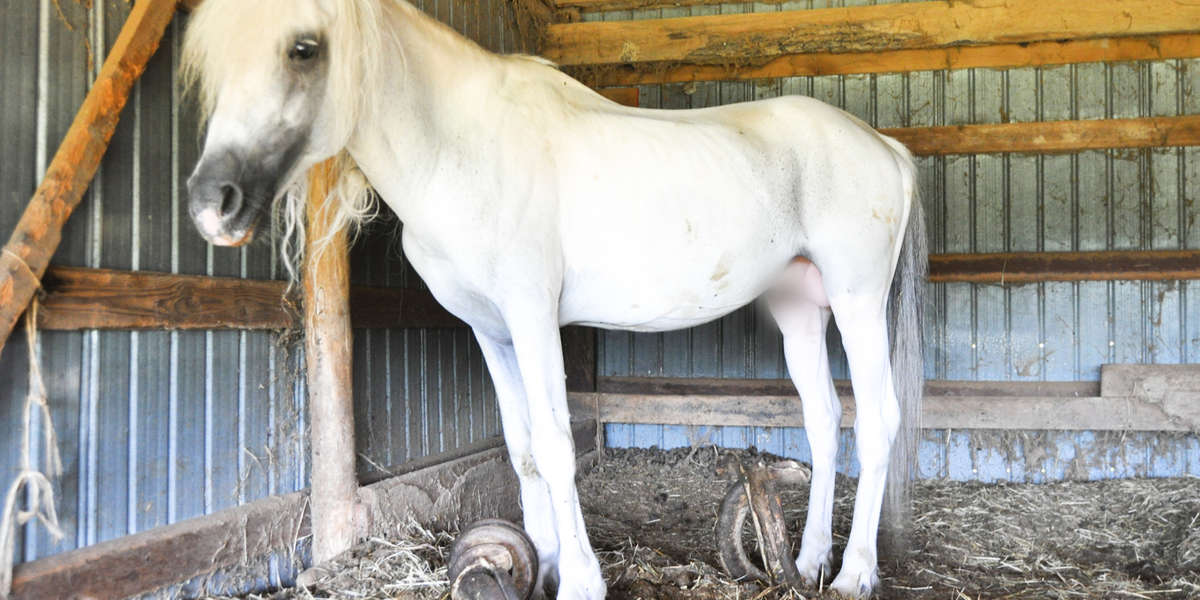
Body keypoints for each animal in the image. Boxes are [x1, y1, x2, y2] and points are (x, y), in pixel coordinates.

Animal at [180, 1, 927, 597]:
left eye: (303, 48)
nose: (213, 205)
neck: (462, 148)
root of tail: (885, 146)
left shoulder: (533, 317)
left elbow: (557, 443)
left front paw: (580, 581)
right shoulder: (492, 331)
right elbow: (524, 451)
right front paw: (532, 568)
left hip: (857, 303)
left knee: (878, 419)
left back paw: (856, 574)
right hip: (802, 308)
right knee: (826, 420)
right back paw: (811, 562)